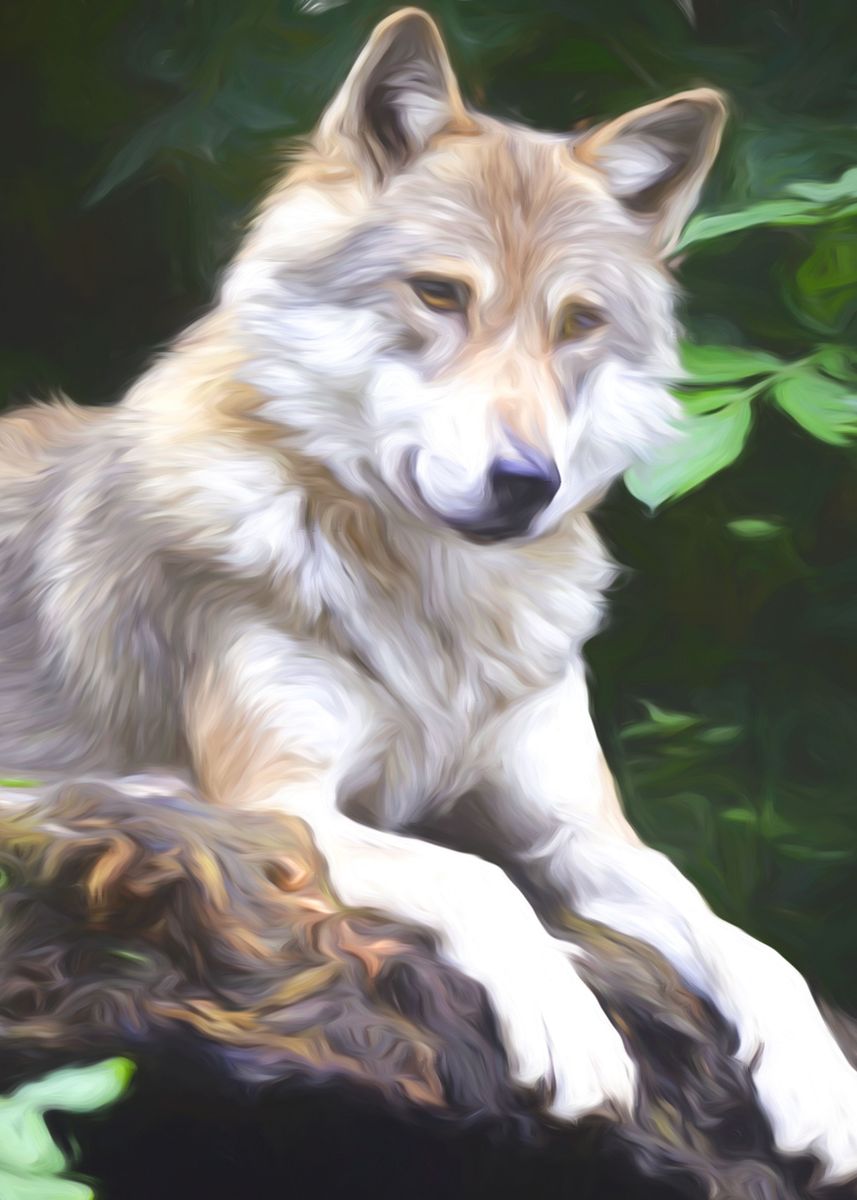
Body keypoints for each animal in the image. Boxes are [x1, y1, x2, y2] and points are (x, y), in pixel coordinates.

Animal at [2, 7, 856, 1180]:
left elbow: (745, 941)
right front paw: (572, 1033)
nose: (526, 483)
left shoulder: (581, 838)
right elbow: (472, 877)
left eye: (577, 323)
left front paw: (824, 1087)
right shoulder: (270, 809)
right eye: (440, 294)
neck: (435, 608)